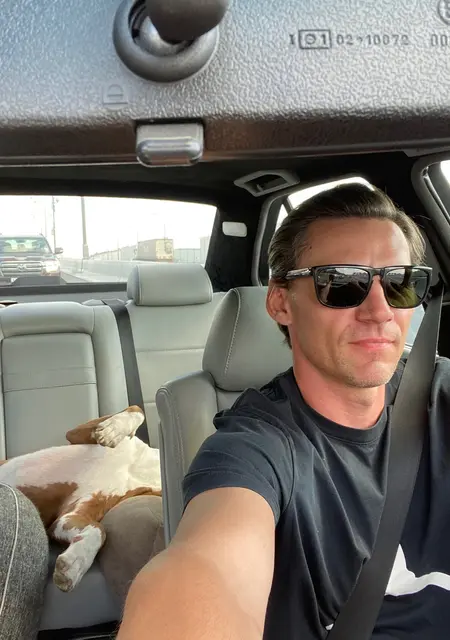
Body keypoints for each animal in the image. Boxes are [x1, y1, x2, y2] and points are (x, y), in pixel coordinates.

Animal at [0, 405, 161, 593]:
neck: (142, 468)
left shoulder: (70, 515)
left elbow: (99, 529)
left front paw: (76, 562)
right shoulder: (77, 433)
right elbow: (136, 409)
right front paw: (114, 429)